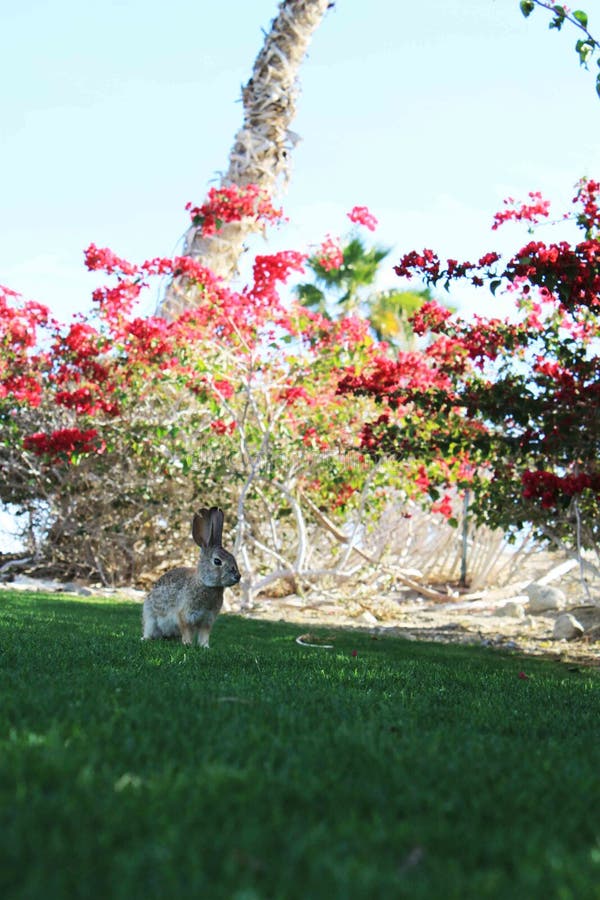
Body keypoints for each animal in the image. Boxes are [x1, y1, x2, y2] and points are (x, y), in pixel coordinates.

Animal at [142, 506, 241, 648]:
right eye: (217, 561)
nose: (238, 576)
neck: (205, 584)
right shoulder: (185, 615)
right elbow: (187, 630)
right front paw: (188, 644)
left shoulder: (208, 619)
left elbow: (204, 635)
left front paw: (205, 647)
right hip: (150, 614)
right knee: (149, 628)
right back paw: (145, 638)